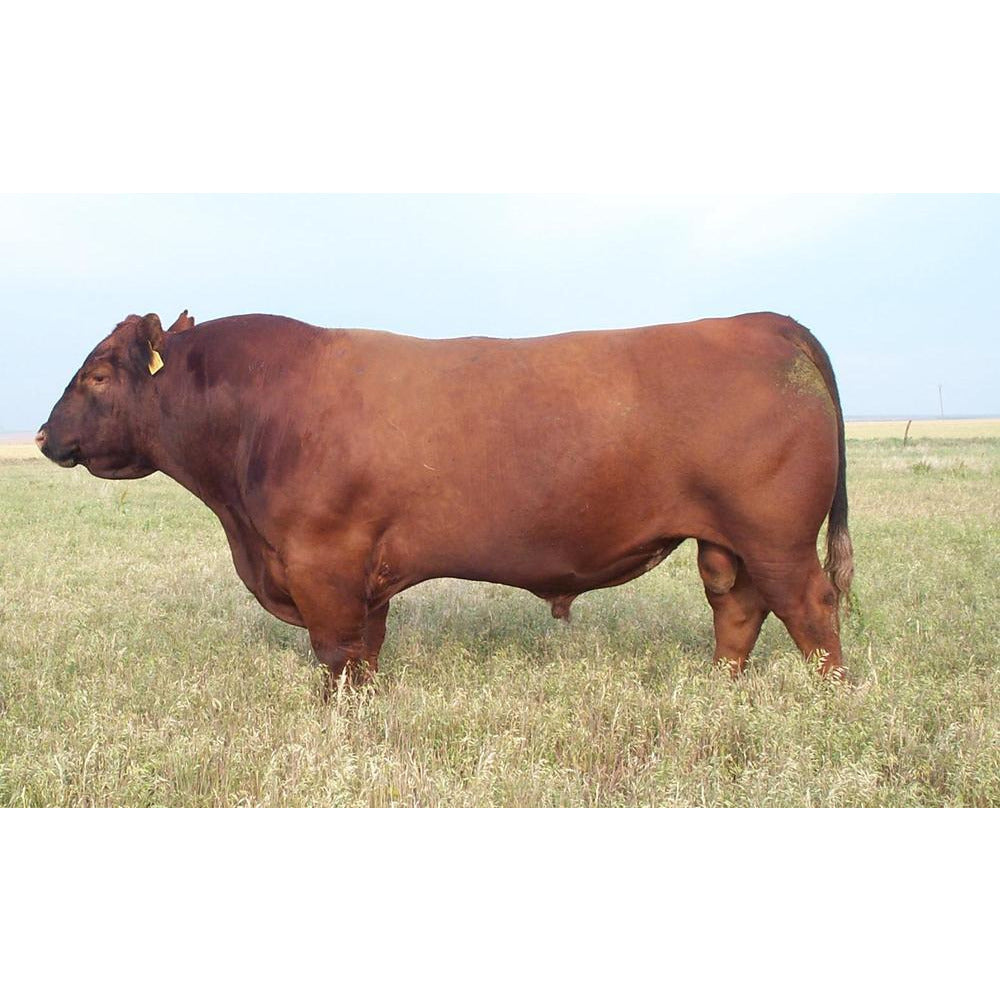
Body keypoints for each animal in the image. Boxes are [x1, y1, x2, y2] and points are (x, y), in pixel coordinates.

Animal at [36, 310, 853, 696]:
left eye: (99, 374)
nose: (43, 434)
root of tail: (762, 322)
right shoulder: (360, 577)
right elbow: (365, 654)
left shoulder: (323, 562)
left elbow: (336, 657)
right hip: (727, 539)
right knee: (737, 609)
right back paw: (716, 693)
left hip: (776, 535)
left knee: (810, 612)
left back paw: (830, 705)